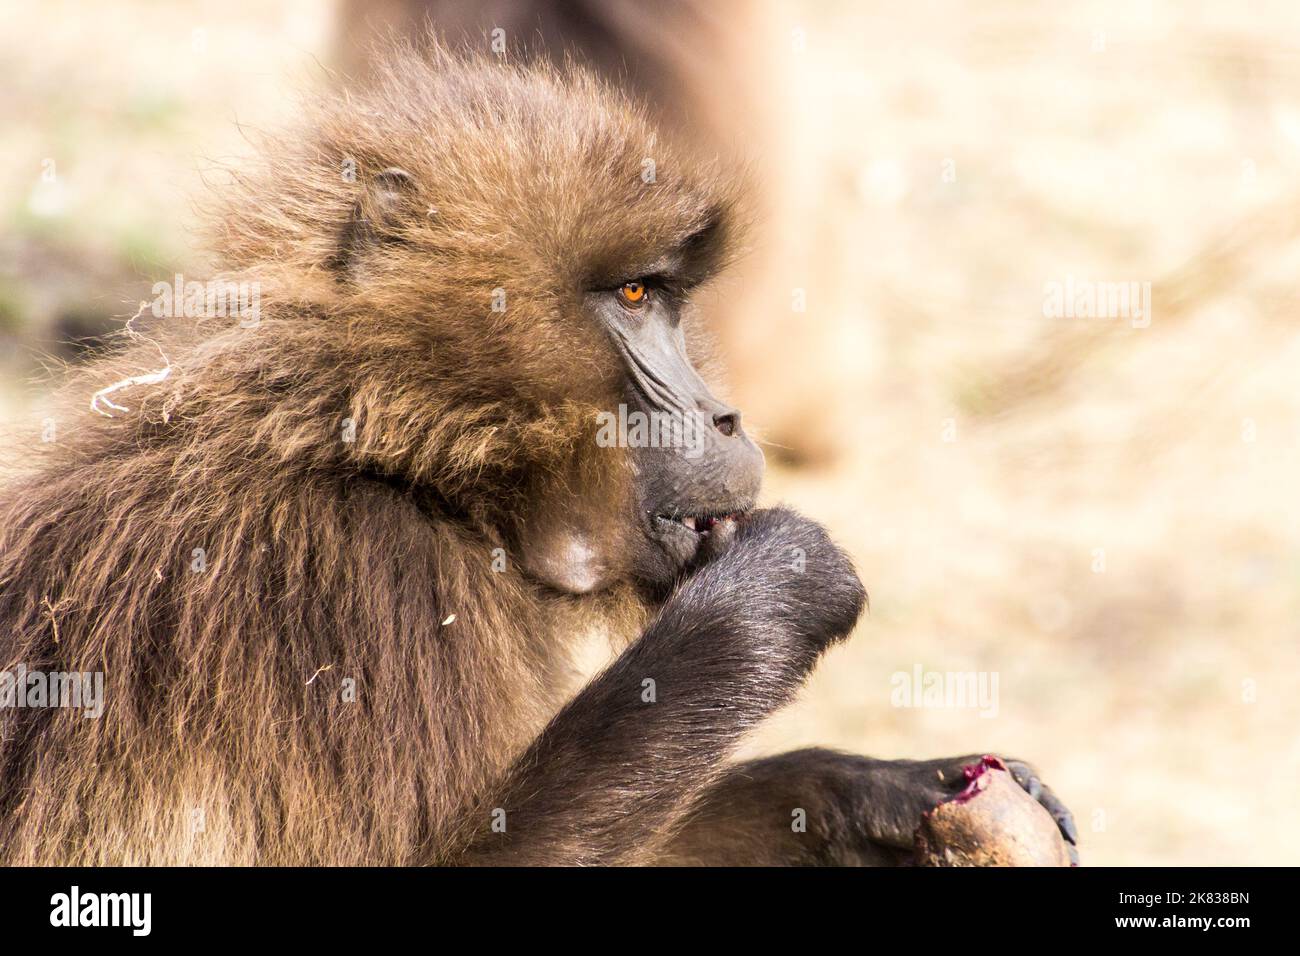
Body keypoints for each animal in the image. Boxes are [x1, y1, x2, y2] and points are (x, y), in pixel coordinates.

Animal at [0, 41, 1076, 866]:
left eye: (667, 298)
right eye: (634, 296)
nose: (725, 416)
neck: (385, 453)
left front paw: (876, 793)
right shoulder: (348, 586)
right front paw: (773, 593)